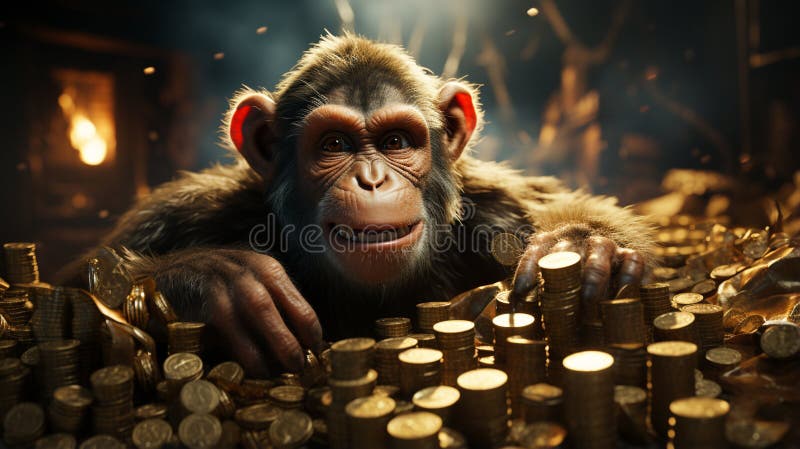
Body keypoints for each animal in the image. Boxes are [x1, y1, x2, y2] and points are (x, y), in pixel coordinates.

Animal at [70, 33, 653, 376]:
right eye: (334, 145)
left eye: (396, 141)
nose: (371, 179)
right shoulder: (183, 212)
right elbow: (72, 281)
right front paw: (214, 277)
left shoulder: (499, 208)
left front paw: (582, 245)